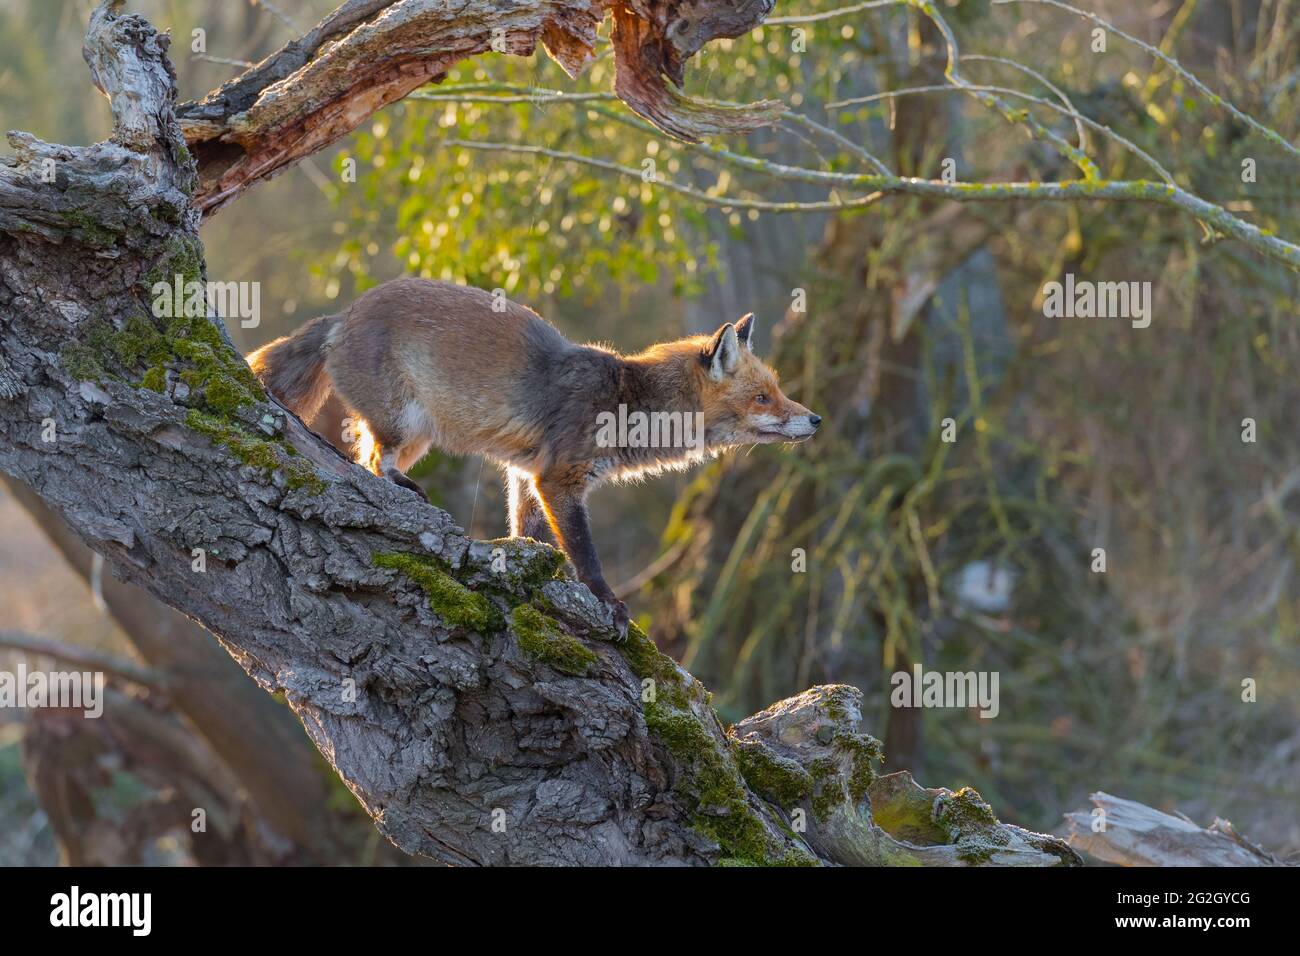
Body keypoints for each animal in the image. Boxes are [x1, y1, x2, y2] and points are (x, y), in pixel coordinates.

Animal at [247, 277, 821, 637]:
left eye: (778, 391)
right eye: (762, 398)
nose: (815, 419)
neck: (623, 399)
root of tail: (343, 314)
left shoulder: (526, 476)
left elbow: (529, 535)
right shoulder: (559, 479)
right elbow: (585, 554)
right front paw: (608, 603)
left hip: (419, 436)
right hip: (403, 423)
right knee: (370, 461)